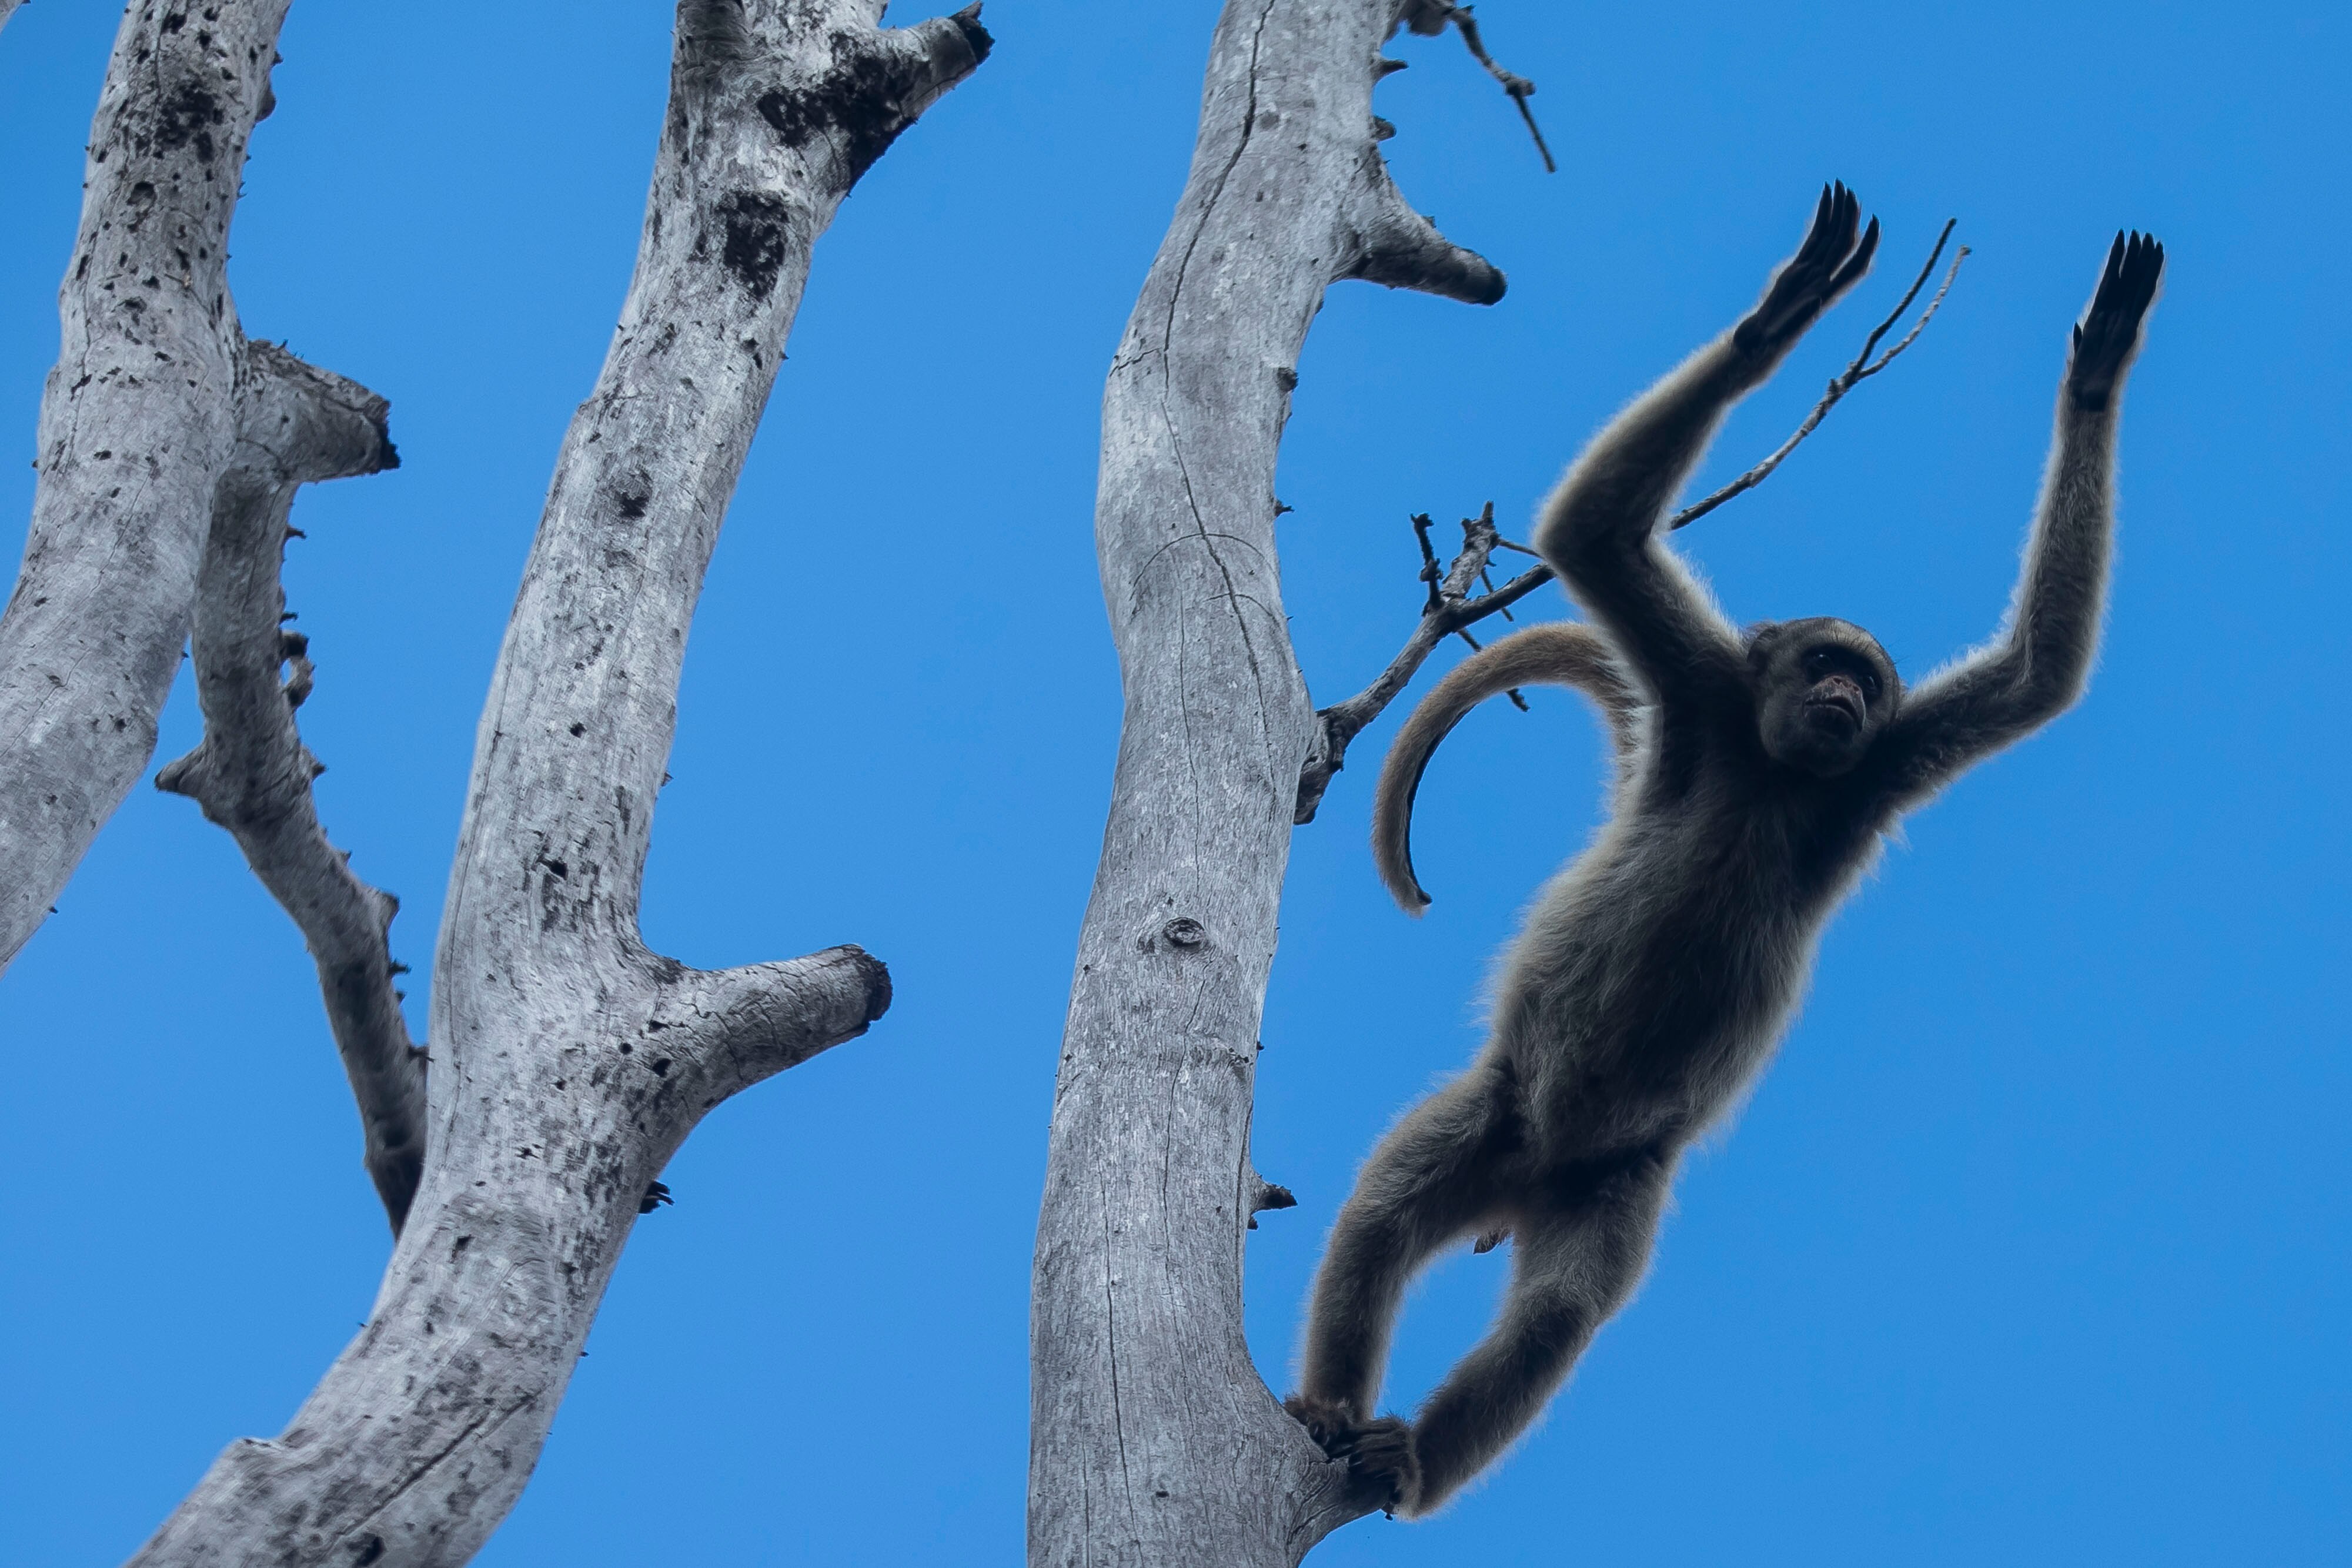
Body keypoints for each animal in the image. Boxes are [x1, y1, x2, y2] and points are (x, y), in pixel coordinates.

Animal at [1285, 186, 2163, 1518]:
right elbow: (1591, 535)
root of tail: (1524, 1178)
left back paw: (1412, 1454)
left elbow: (2037, 674)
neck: (1775, 774)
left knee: (1554, 1315)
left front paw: (2101, 367)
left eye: (1865, 681)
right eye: (1826, 664)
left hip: (1612, 1181)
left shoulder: (1876, 768)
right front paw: (1786, 310)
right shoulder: (1704, 695)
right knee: (1389, 1203)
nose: (1844, 697)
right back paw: (1339, 1407)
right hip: (1501, 1113)